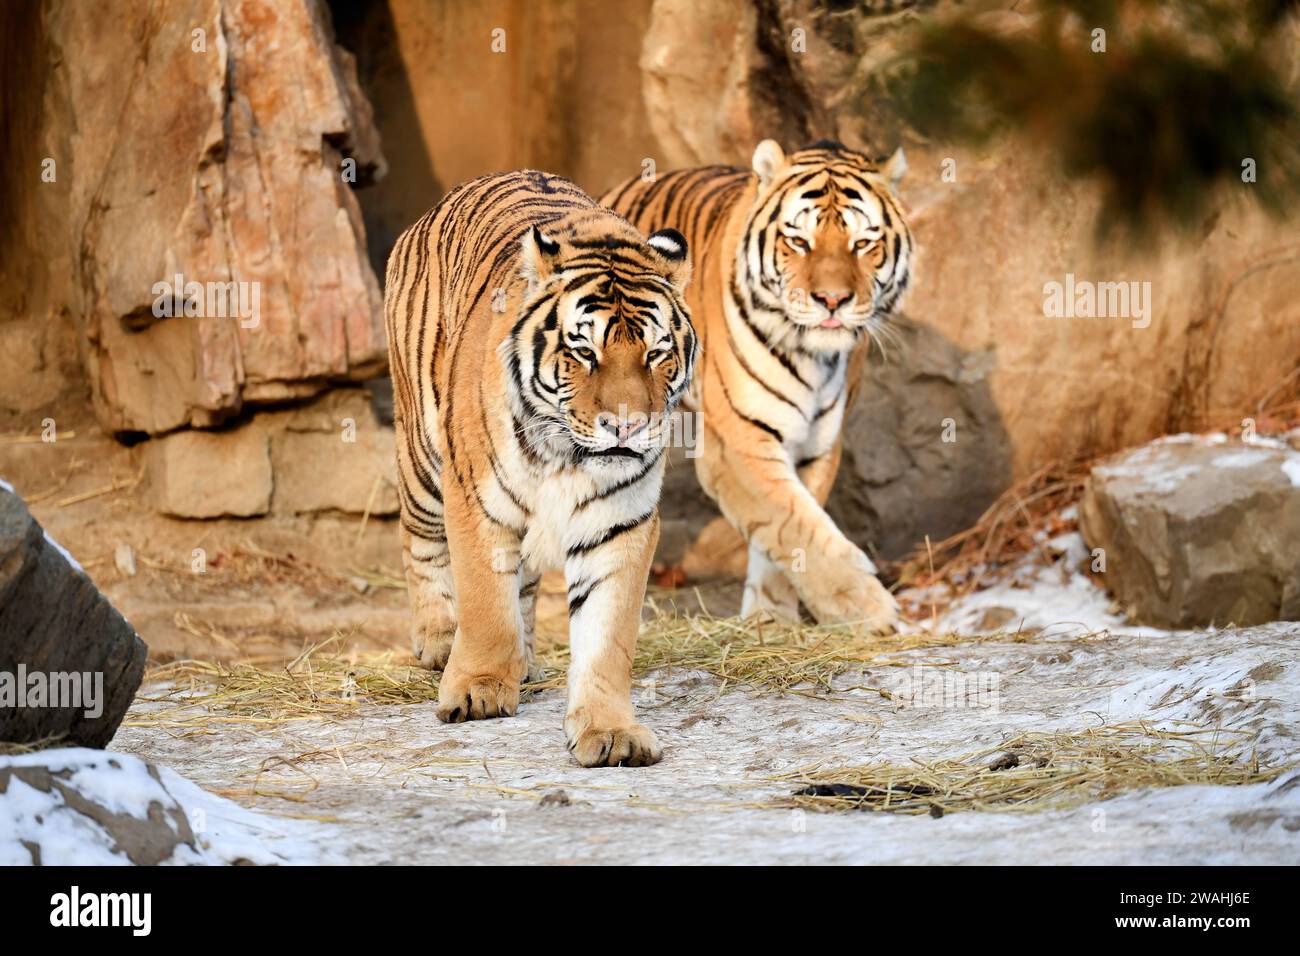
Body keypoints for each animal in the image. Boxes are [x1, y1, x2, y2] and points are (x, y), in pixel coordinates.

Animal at [384, 169, 696, 767]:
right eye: (584, 353)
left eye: (655, 353)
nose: (627, 427)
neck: (566, 457)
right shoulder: (476, 501)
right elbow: (485, 602)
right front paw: (478, 688)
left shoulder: (619, 521)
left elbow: (606, 634)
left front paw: (611, 732)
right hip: (422, 454)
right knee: (418, 540)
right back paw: (440, 641)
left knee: (524, 583)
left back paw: (523, 660)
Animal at [601, 139, 912, 632]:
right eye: (798, 242)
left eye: (863, 244)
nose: (832, 301)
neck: (814, 357)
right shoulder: (738, 444)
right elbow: (793, 520)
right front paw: (868, 608)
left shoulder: (817, 444)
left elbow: (790, 529)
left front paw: (772, 619)